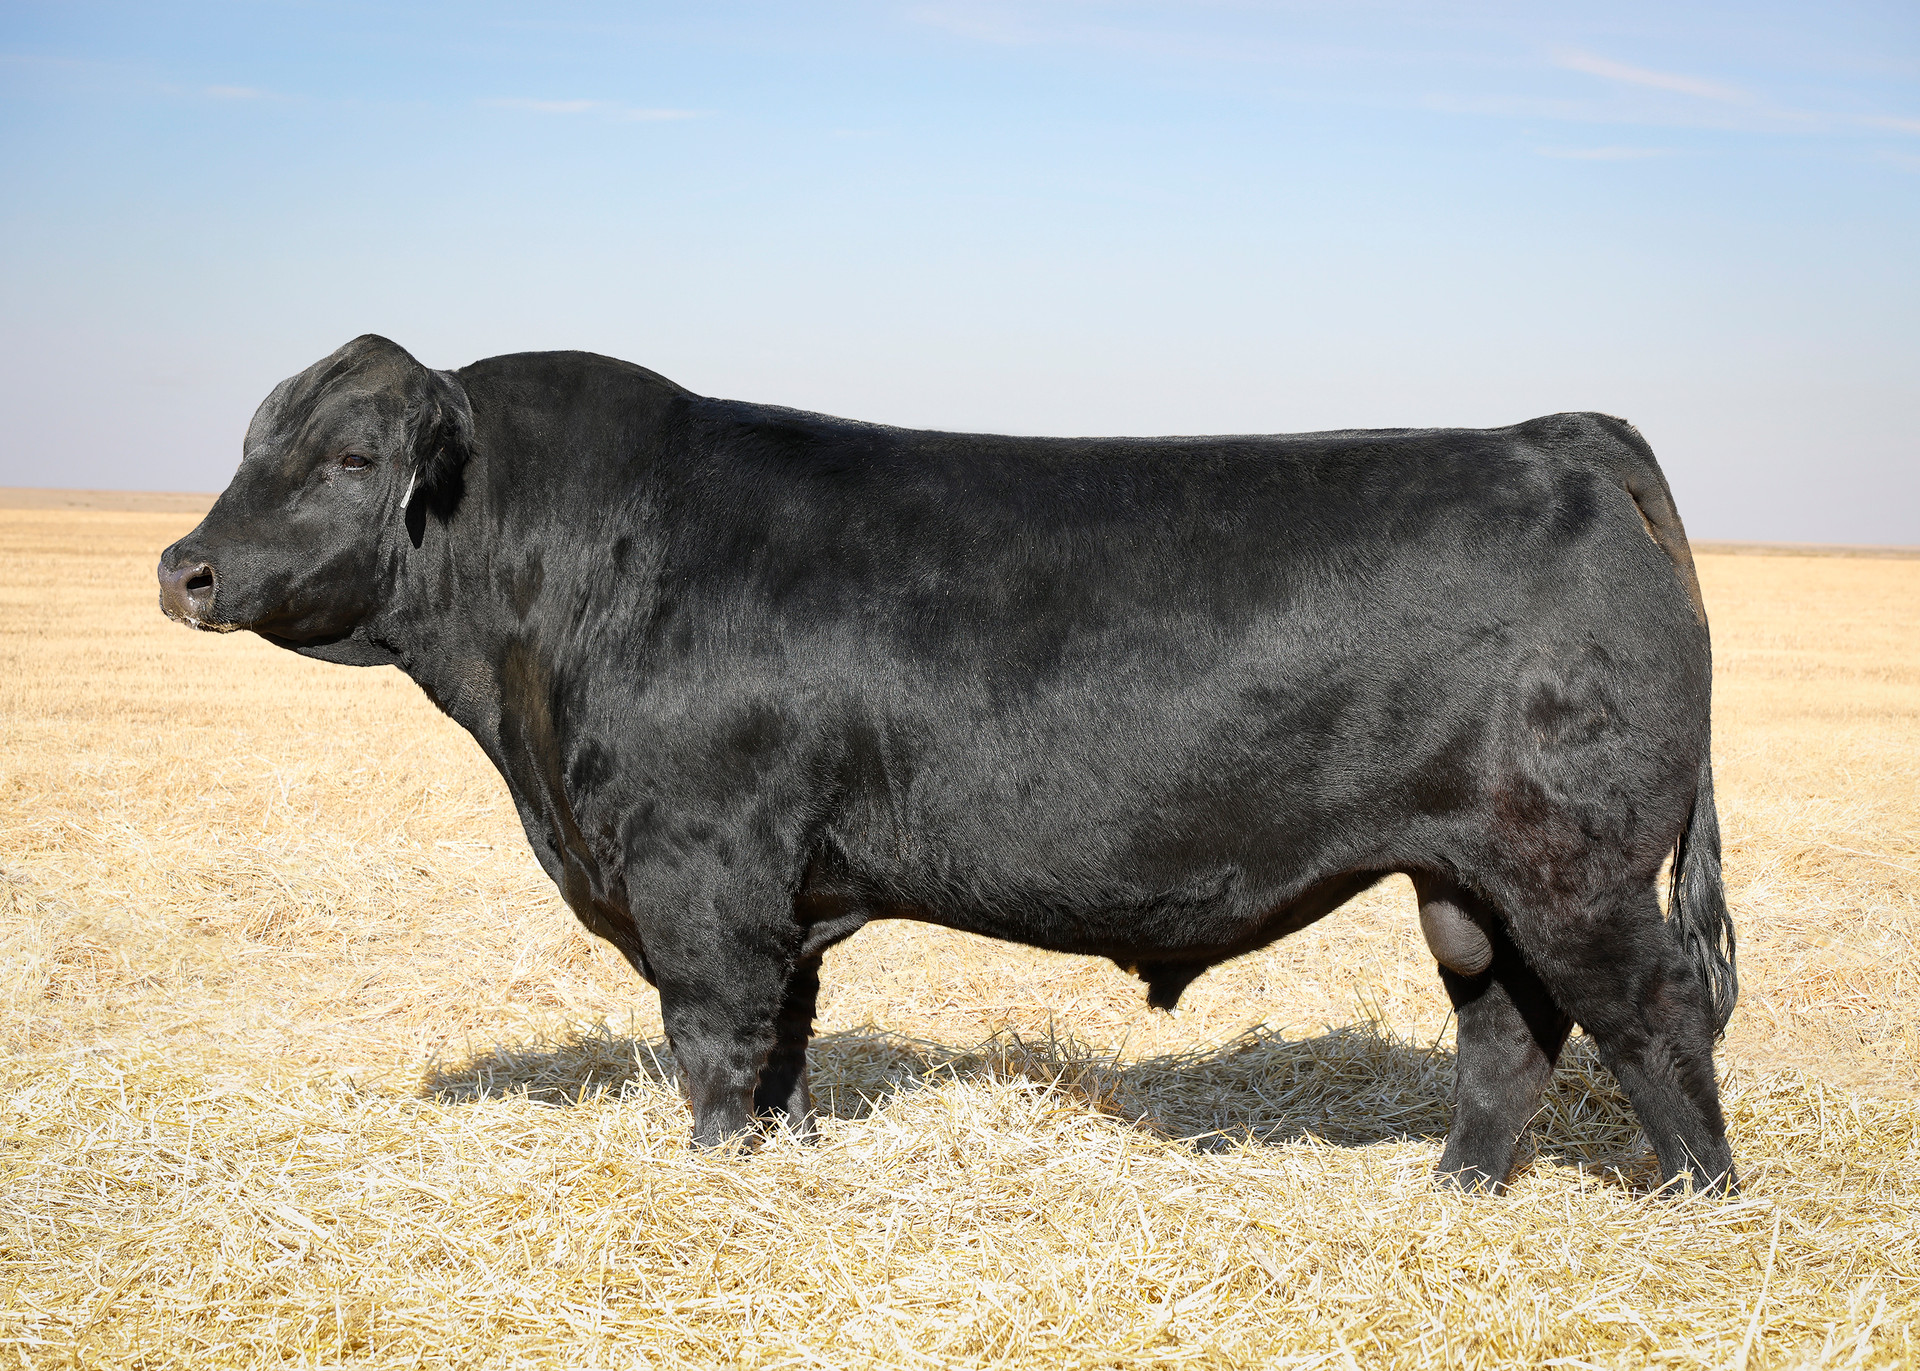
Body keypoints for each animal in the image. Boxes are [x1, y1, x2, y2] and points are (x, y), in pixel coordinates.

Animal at [158, 335, 1739, 1193]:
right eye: (251, 440)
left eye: (352, 459)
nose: (187, 566)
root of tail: (1555, 435)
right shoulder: (778, 890)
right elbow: (783, 1049)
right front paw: (780, 1165)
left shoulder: (701, 871)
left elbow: (716, 1042)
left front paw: (712, 1175)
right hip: (1472, 877)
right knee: (1509, 1028)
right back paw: (1453, 1189)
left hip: (1580, 863)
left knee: (1657, 1012)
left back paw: (1704, 1205)